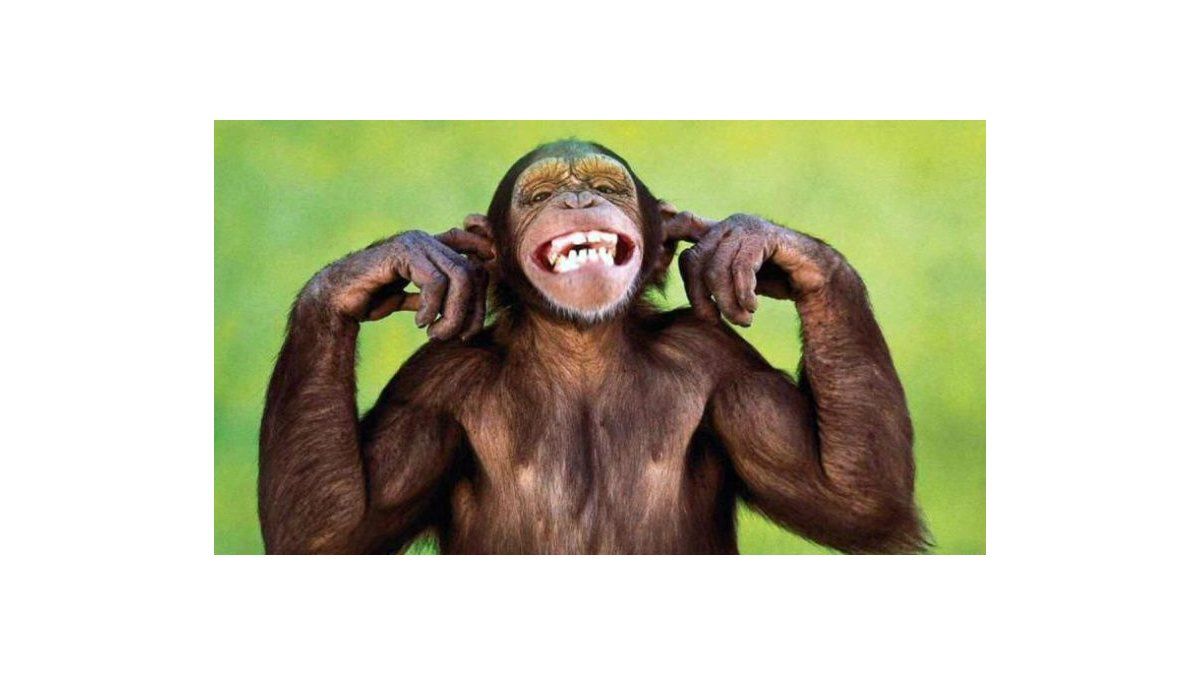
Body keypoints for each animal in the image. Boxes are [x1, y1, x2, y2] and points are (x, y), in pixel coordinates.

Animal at [258, 139, 927, 554]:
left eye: (608, 186)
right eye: (537, 195)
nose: (578, 197)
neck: (580, 348)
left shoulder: (719, 363)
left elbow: (851, 499)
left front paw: (753, 242)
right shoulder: (433, 386)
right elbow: (330, 530)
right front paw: (387, 265)